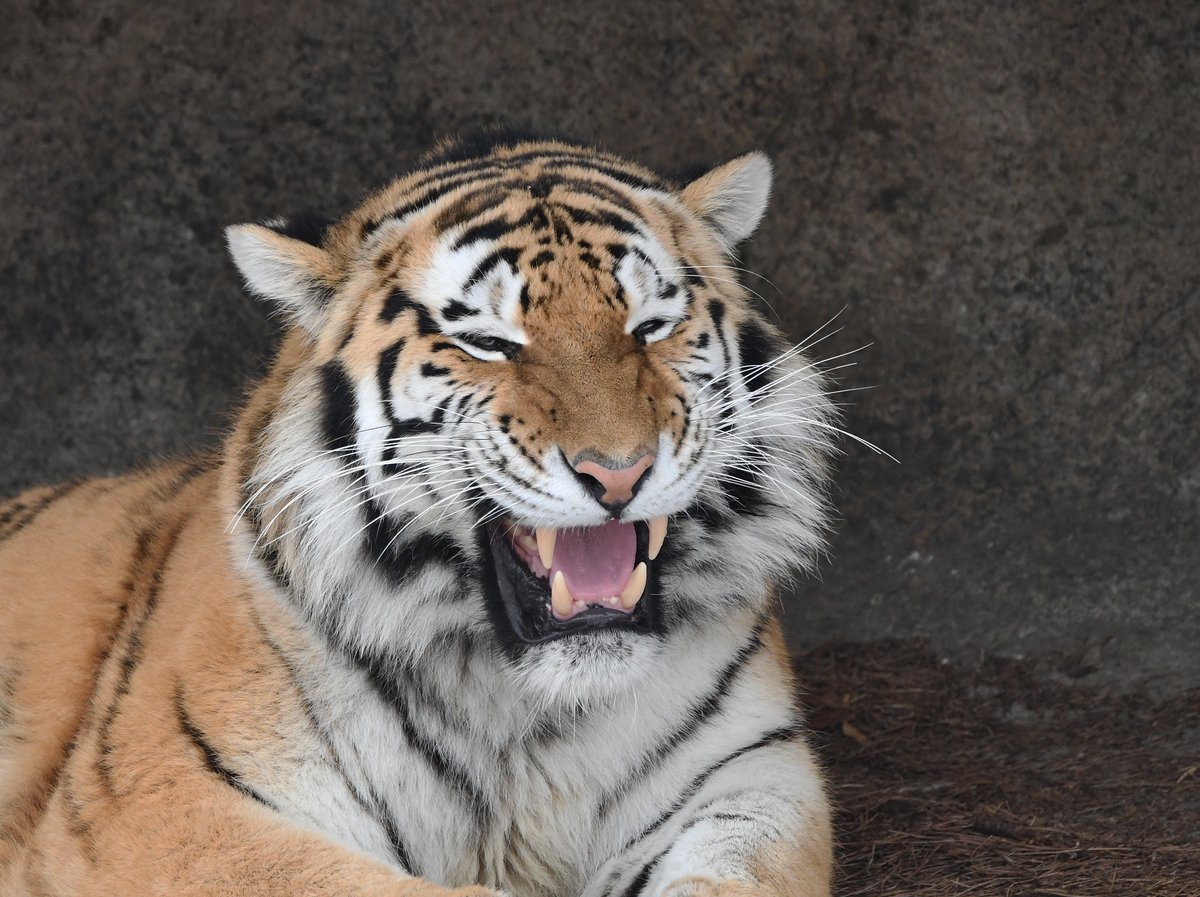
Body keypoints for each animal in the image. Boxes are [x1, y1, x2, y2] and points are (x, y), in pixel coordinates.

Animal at [0, 129, 838, 897]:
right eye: (490, 343)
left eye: (651, 327)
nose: (619, 471)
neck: (526, 707)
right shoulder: (162, 798)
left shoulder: (753, 776)